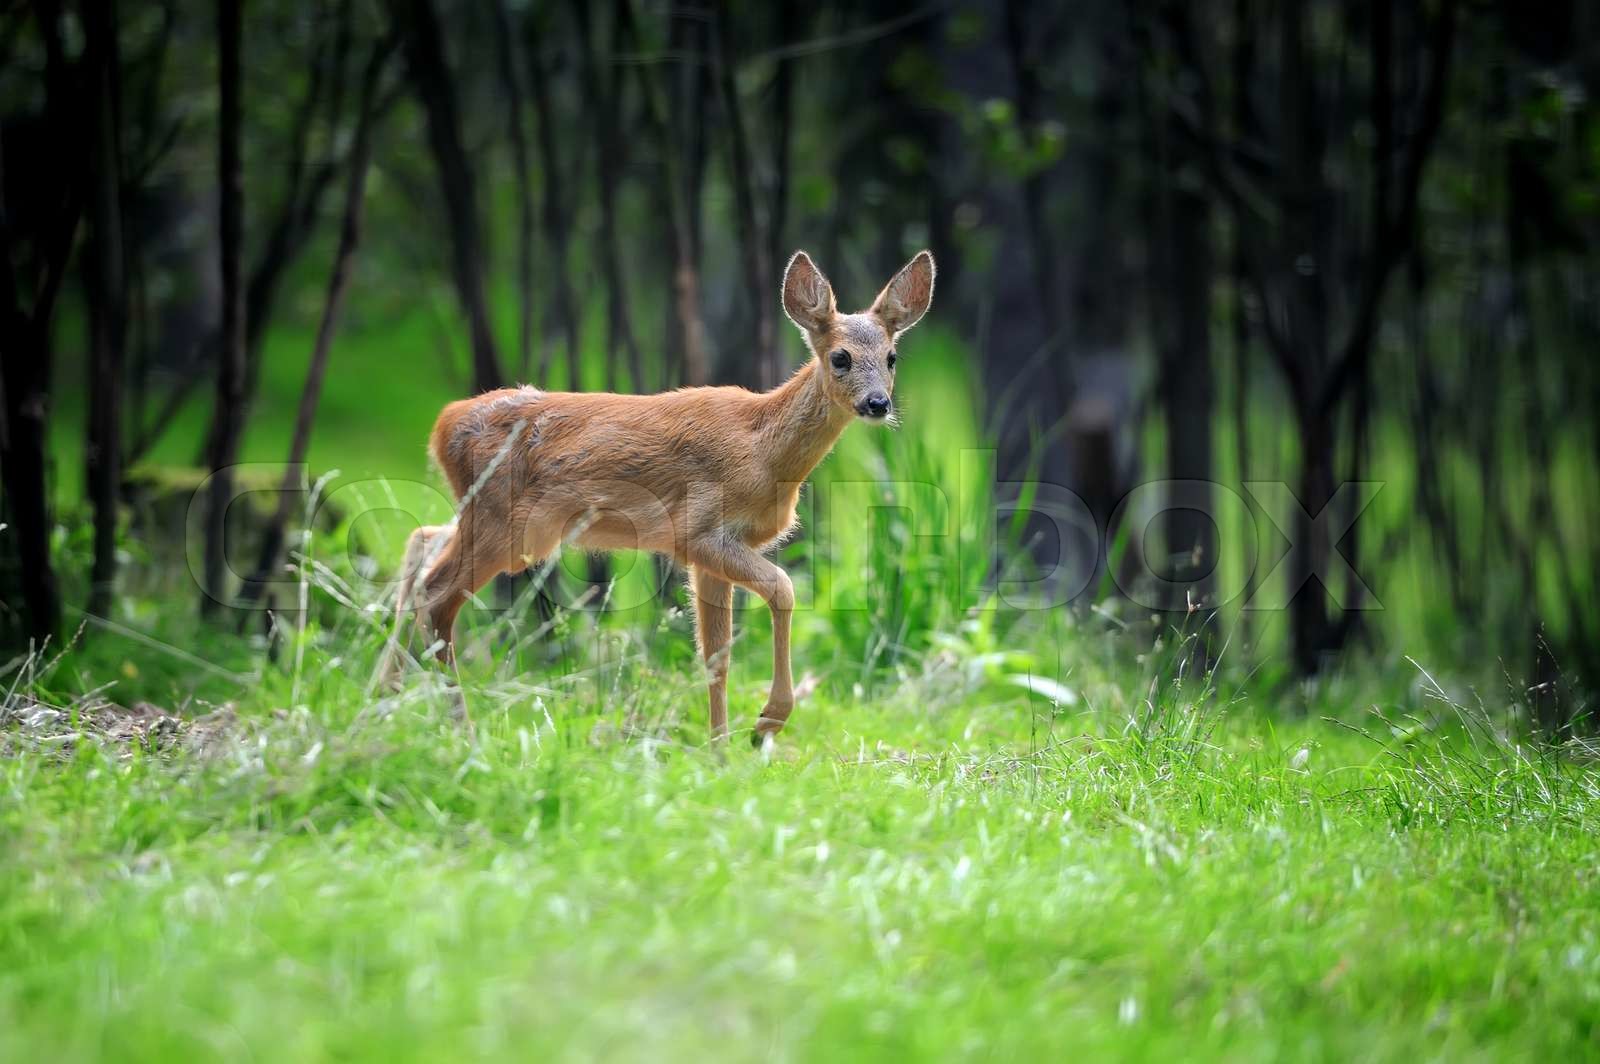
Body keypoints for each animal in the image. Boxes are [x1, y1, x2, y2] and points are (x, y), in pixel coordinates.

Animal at [384, 250, 936, 745]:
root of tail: (443, 425)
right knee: (436, 595)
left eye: (891, 358)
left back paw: (385, 699)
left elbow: (716, 656)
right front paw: (764, 724)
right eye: (841, 357)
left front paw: (720, 753)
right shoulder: (697, 531)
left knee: (420, 541)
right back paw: (460, 734)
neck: (762, 448)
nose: (878, 403)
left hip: (496, 521)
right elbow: (782, 589)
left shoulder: (719, 549)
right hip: (508, 524)